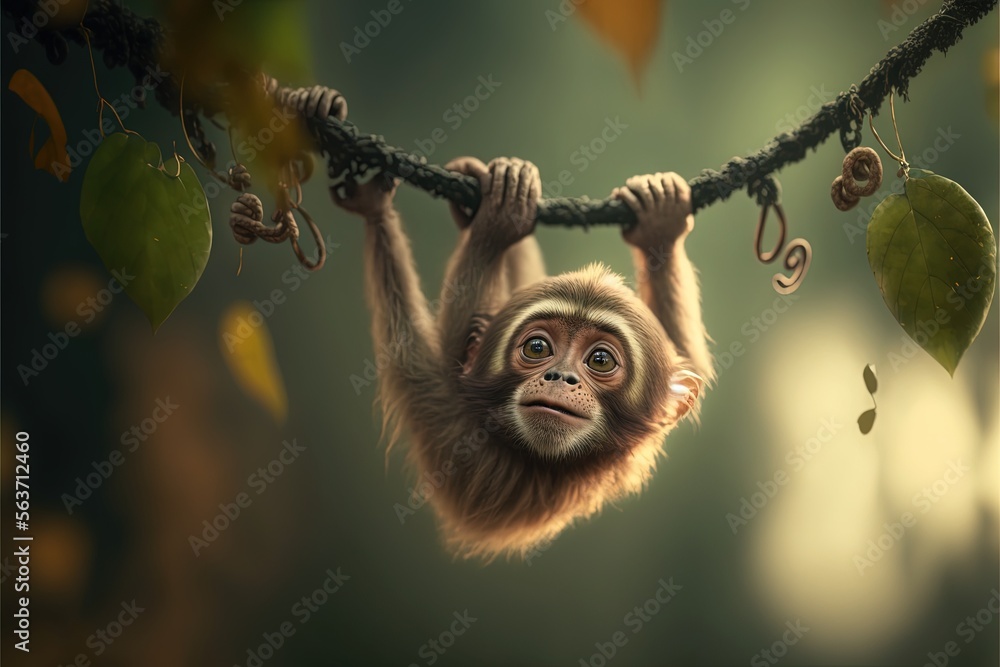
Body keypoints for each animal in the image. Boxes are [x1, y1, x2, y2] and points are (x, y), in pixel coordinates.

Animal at [332, 157, 712, 560]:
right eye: (538, 349)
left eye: (600, 360)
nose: (561, 377)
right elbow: (688, 363)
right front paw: (661, 231)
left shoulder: (461, 436)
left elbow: (446, 342)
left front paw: (496, 226)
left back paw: (378, 208)